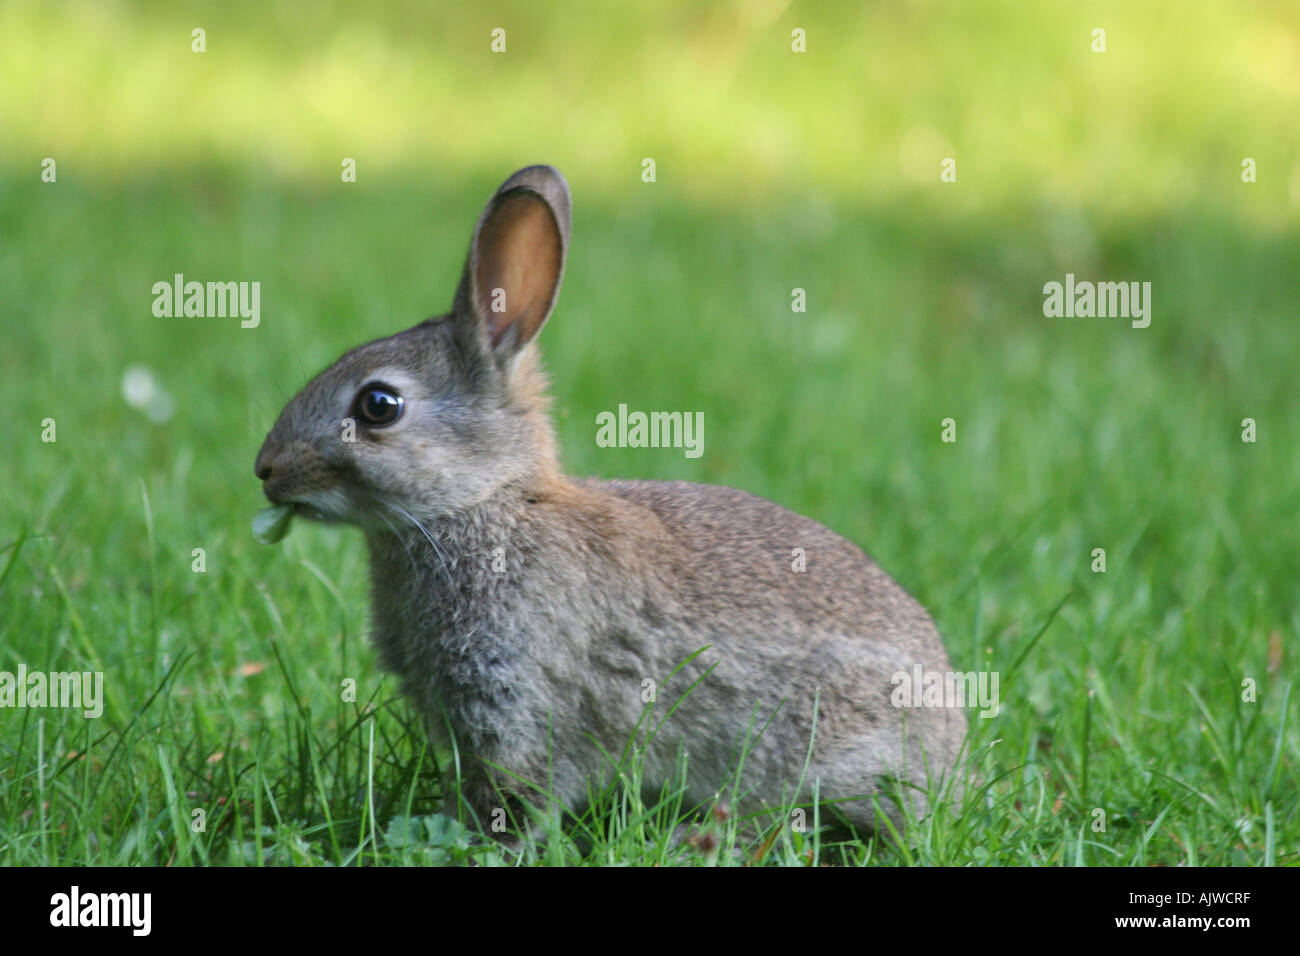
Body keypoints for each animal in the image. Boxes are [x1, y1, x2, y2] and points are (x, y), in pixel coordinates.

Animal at [254, 164, 968, 838]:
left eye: (378, 405)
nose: (266, 470)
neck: (485, 503)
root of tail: (950, 747)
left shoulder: (516, 700)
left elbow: (514, 795)